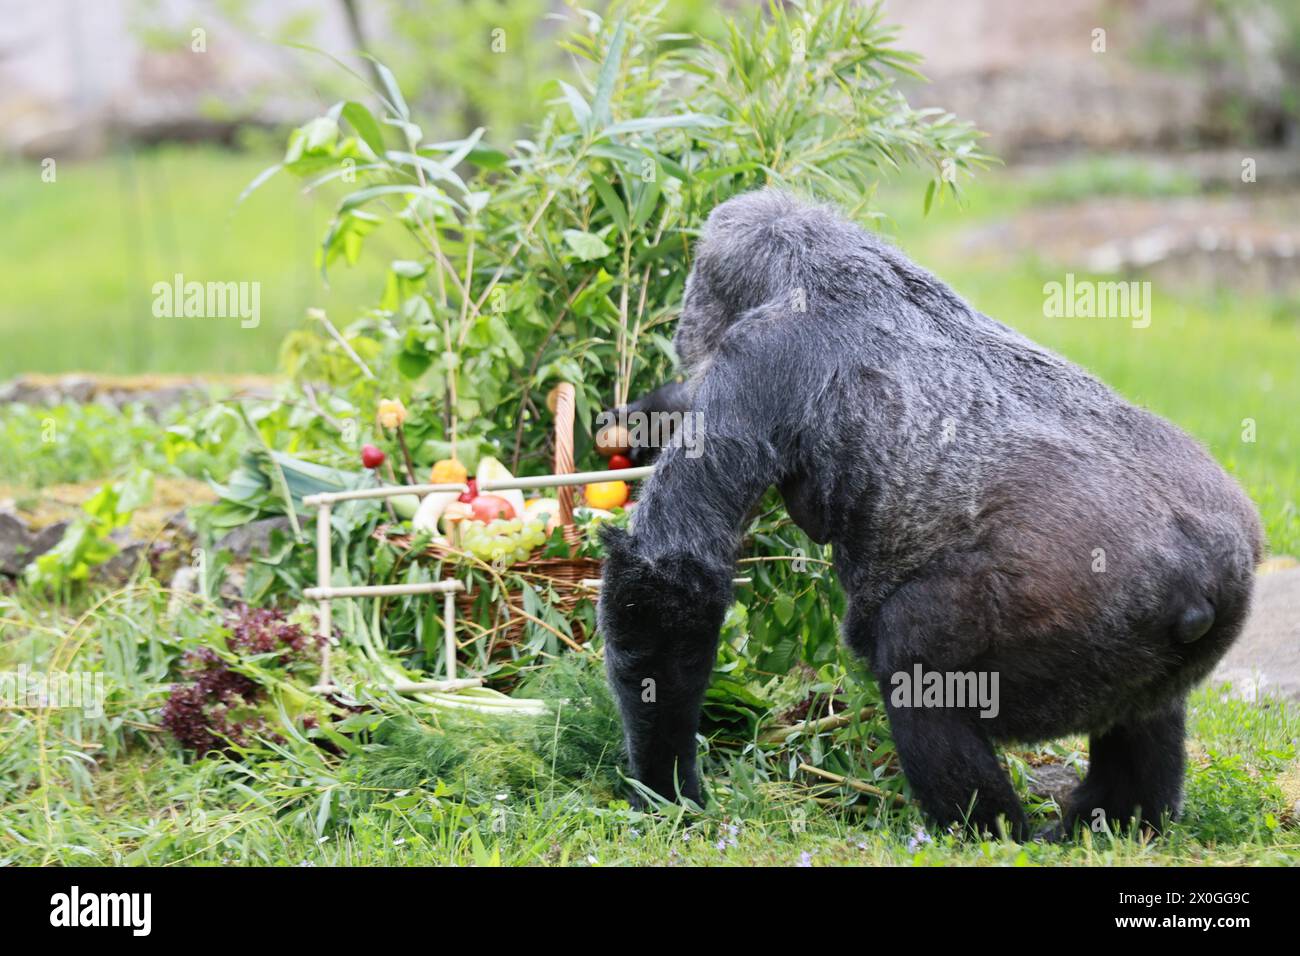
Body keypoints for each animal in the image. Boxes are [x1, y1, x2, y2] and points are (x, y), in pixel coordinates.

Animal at [596, 189, 1263, 840]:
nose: (685, 328)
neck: (828, 264)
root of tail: (1200, 582)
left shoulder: (760, 356)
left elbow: (671, 571)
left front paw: (665, 785)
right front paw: (642, 418)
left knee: (914, 657)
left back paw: (981, 830)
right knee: (1147, 710)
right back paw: (1119, 820)